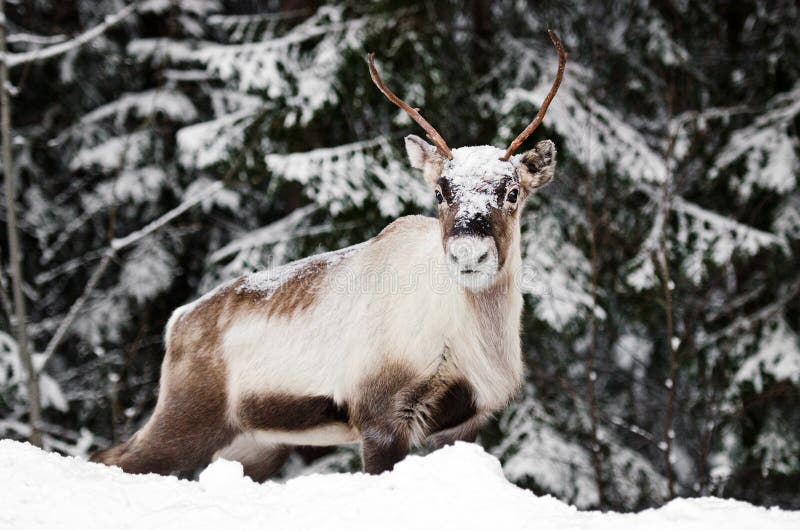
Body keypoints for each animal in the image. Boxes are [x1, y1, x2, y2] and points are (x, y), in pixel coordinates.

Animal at [91, 30, 567, 480]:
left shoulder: (465, 422)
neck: (473, 339)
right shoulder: (380, 418)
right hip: (189, 419)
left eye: (512, 192)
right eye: (439, 191)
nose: (469, 254)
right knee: (114, 456)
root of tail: (178, 322)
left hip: (257, 444)